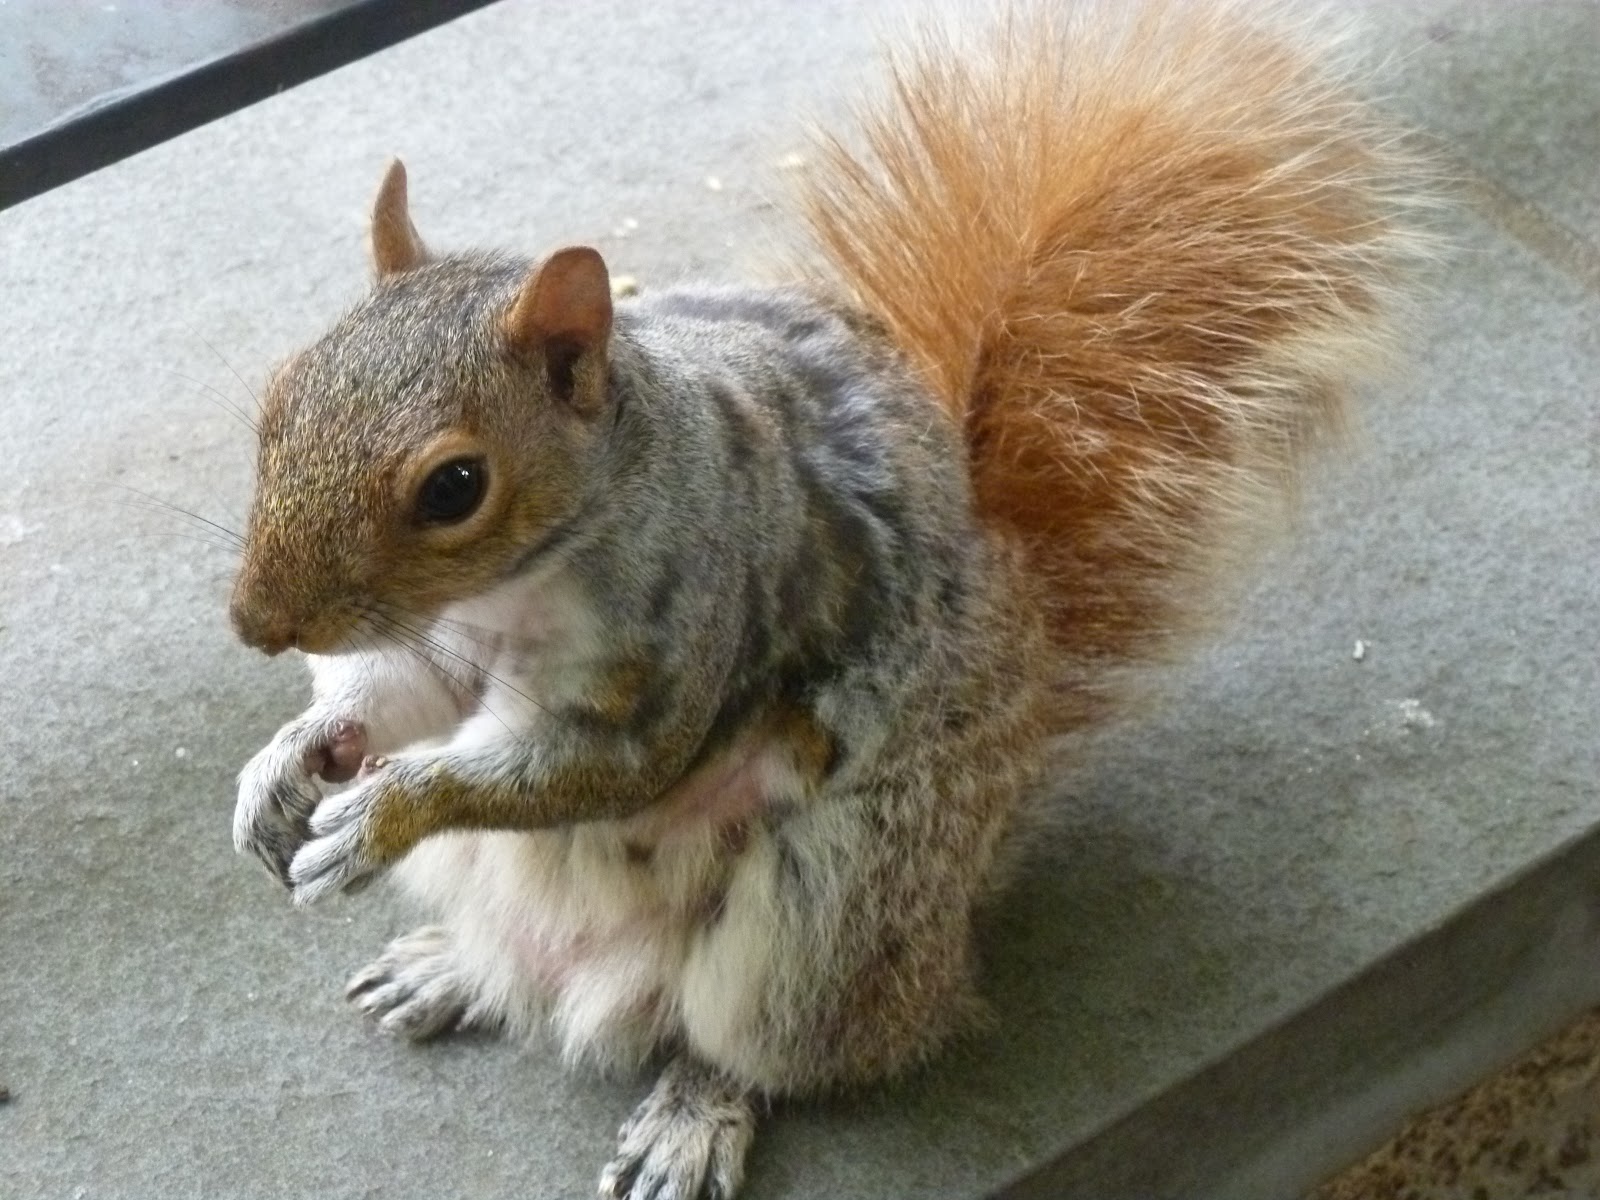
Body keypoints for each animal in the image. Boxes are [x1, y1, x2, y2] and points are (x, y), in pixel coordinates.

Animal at [227, 2, 1429, 1196]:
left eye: (455, 487)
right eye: (280, 394)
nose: (256, 626)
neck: (510, 591)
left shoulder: (686, 627)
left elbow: (603, 765)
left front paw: (383, 809)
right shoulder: (437, 645)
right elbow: (399, 695)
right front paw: (287, 763)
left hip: (828, 918)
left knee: (768, 1046)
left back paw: (692, 1112)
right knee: (531, 965)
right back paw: (452, 973)